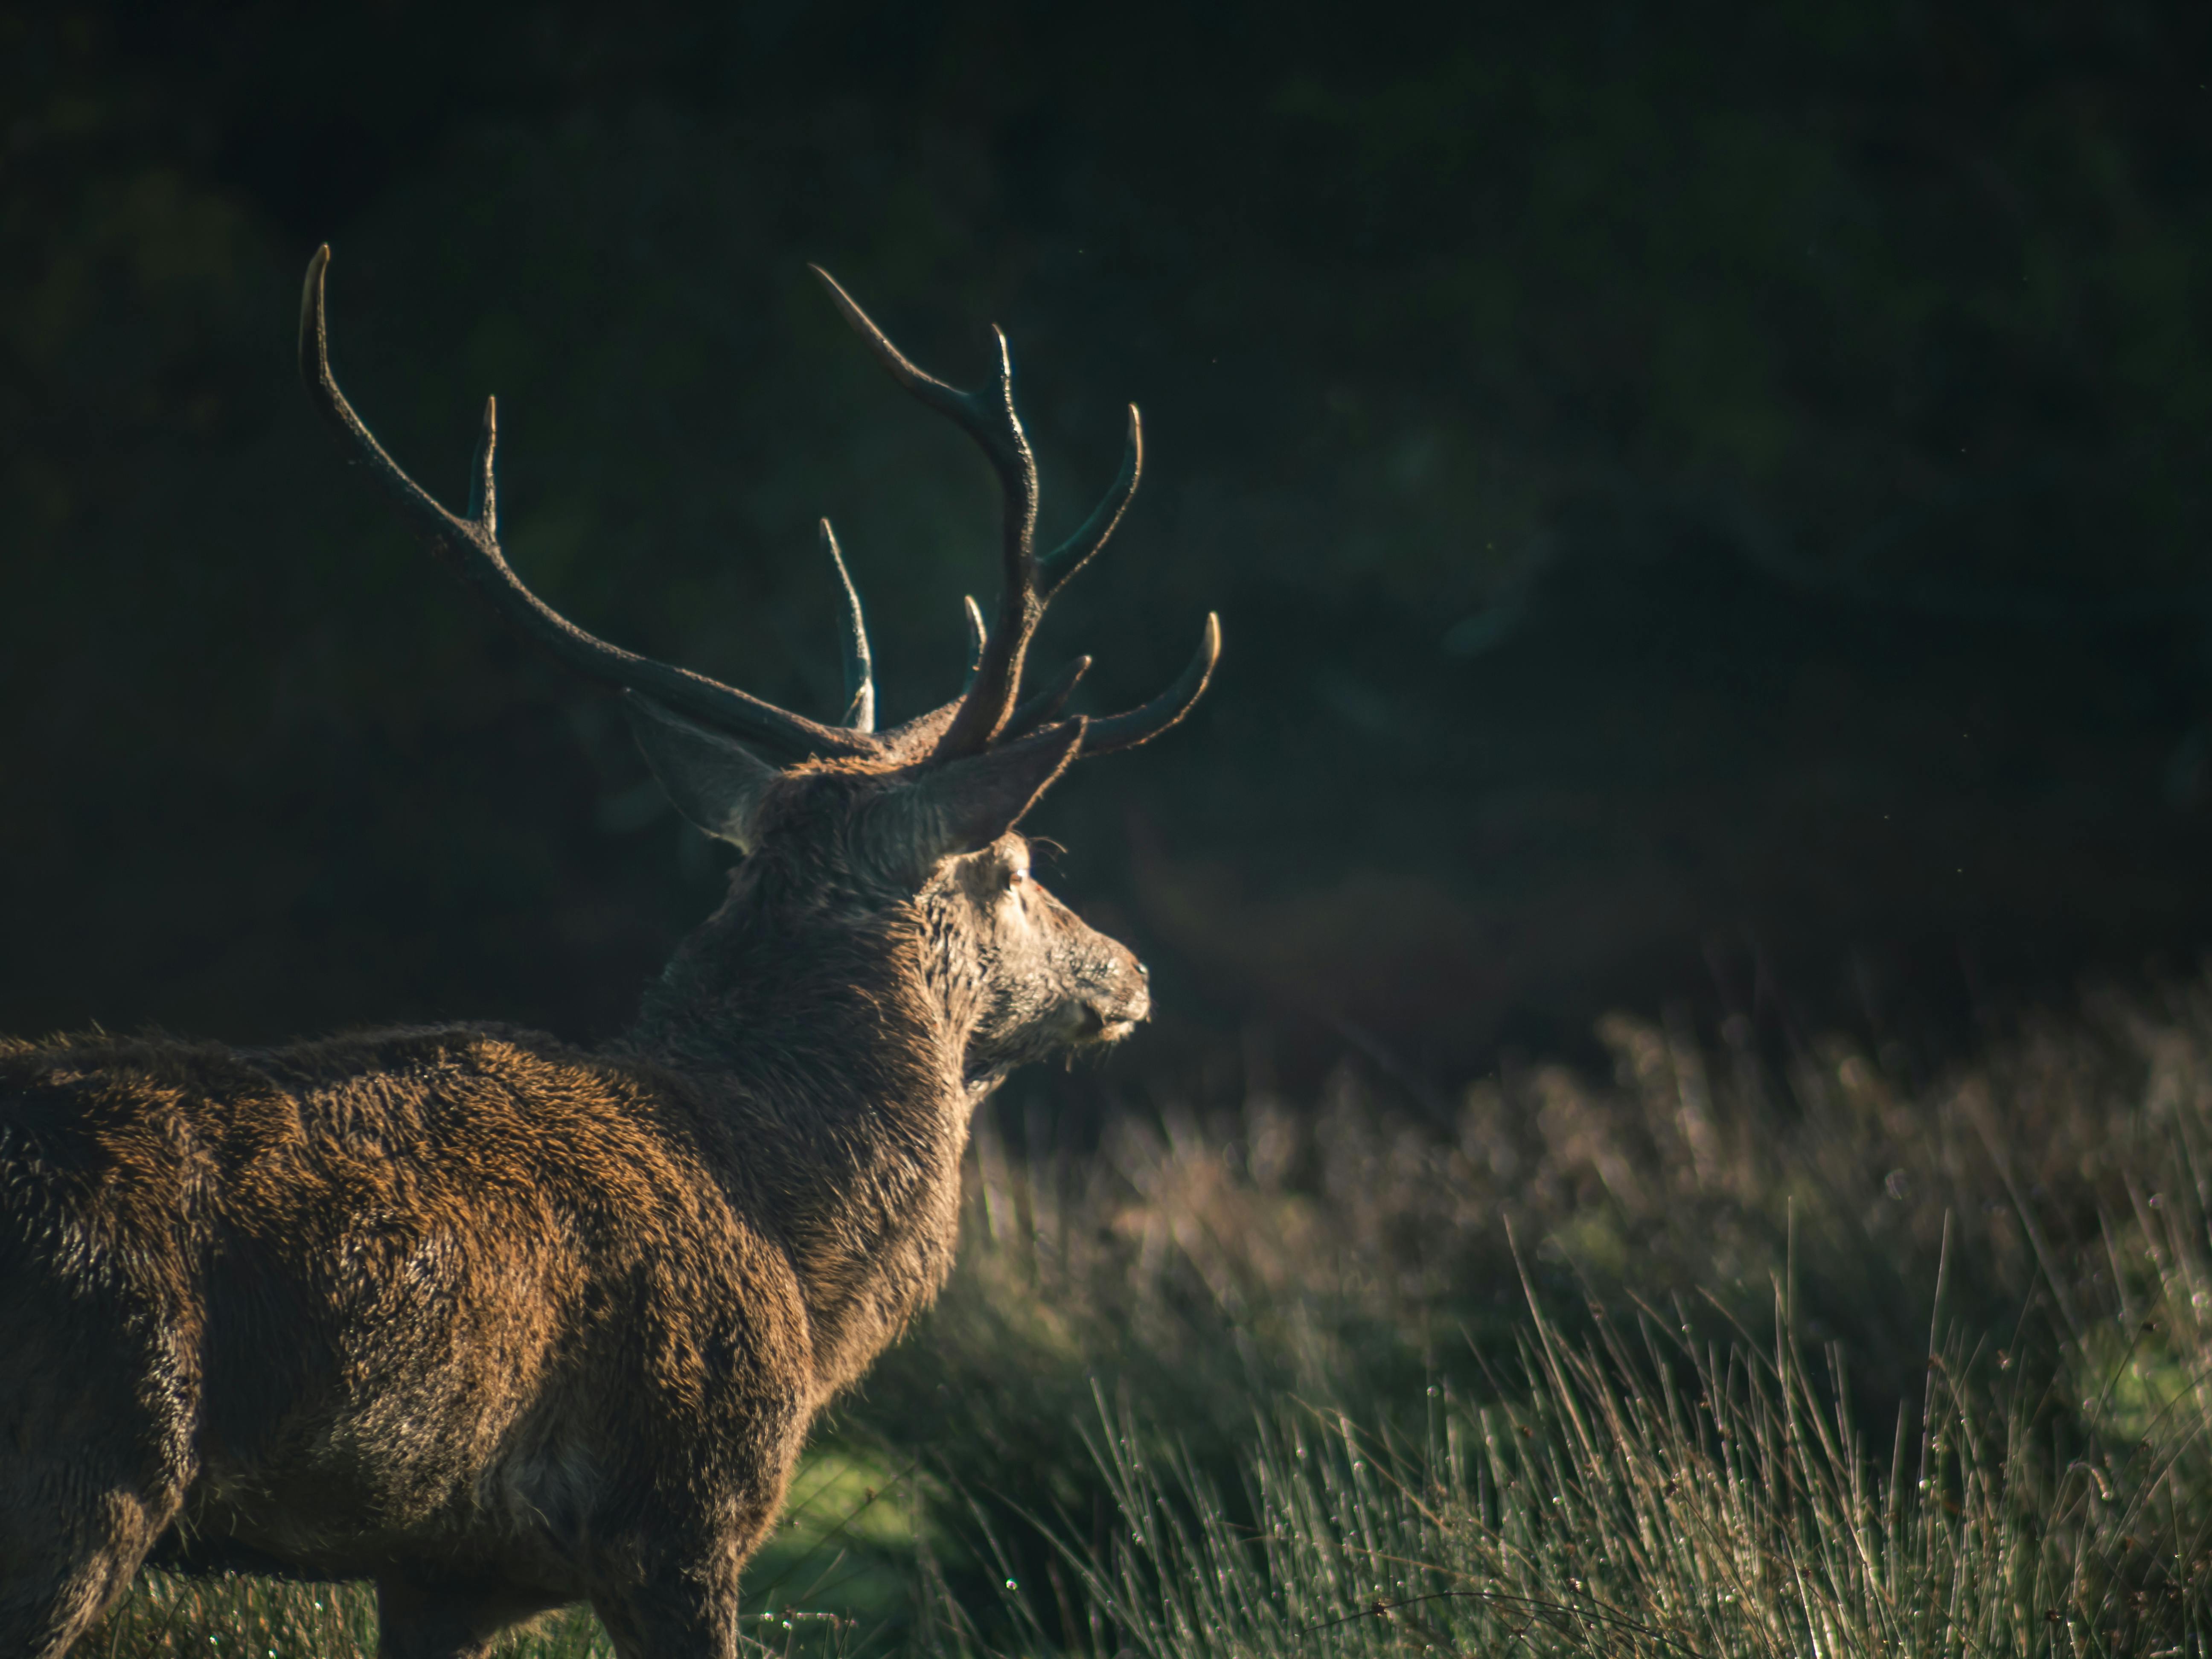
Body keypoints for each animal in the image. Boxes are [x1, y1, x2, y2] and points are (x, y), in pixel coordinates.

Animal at [0, 246, 1218, 1659]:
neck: (796, 1249)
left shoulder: (445, 1571)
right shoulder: (685, 1511)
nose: (1132, 971)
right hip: (81, 1475)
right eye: (1021, 868)